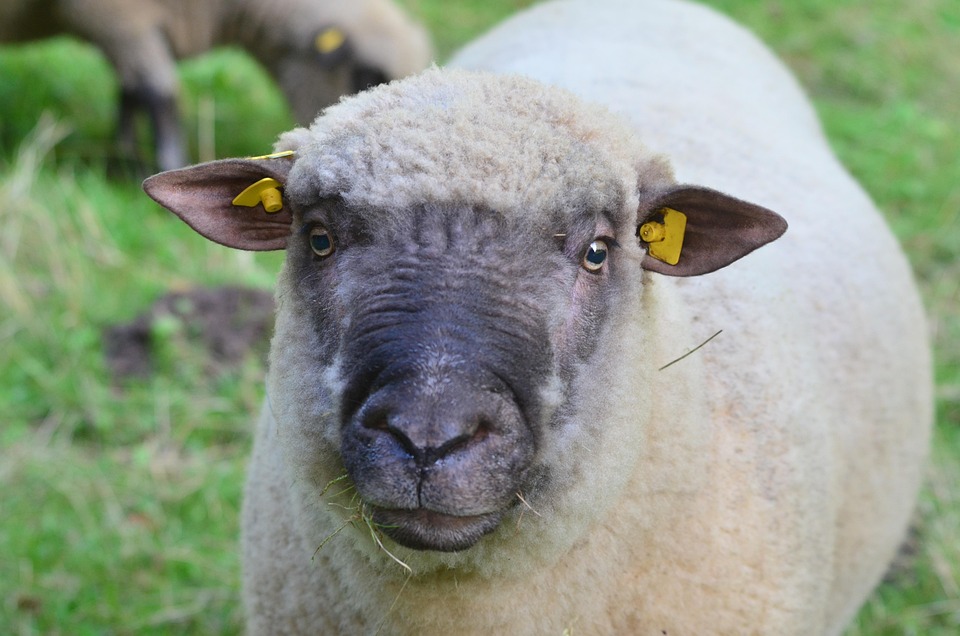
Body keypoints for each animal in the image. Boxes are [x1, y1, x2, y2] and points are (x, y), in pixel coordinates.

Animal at [0, 0, 432, 171]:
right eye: (370, 78)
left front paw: (124, 160)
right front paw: (163, 165)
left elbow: (130, 94)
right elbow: (158, 94)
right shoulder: (117, 17)